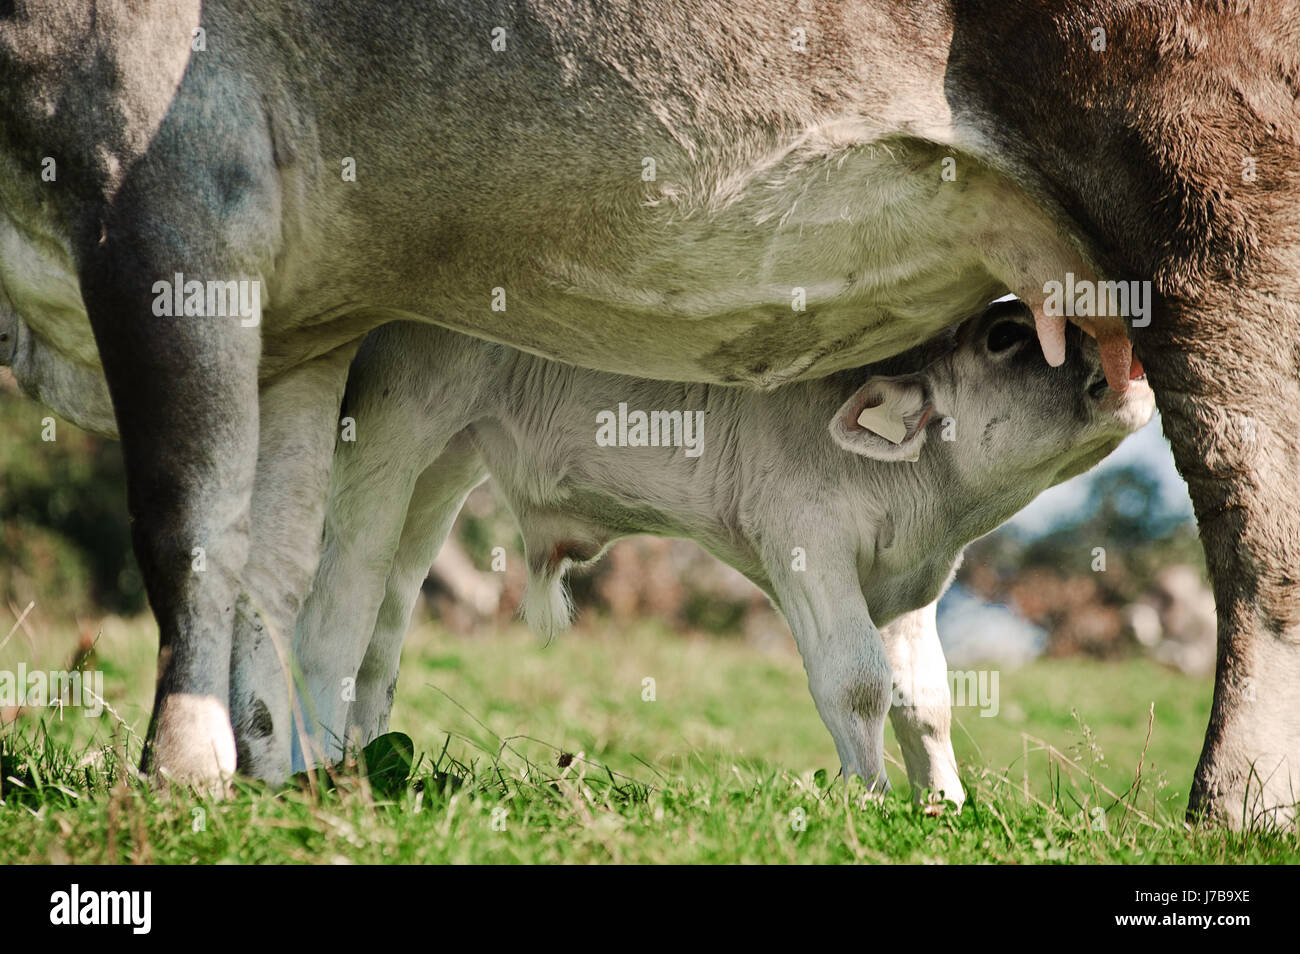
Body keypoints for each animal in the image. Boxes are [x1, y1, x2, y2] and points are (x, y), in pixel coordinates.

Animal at [291, 299, 1155, 805]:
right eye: (1006, 336)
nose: (1131, 362)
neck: (930, 506)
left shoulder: (913, 592)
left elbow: (929, 702)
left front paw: (943, 805)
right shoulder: (806, 543)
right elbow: (857, 683)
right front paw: (869, 800)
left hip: (443, 469)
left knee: (385, 629)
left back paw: (365, 757)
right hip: (393, 423)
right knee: (336, 605)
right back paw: (315, 766)